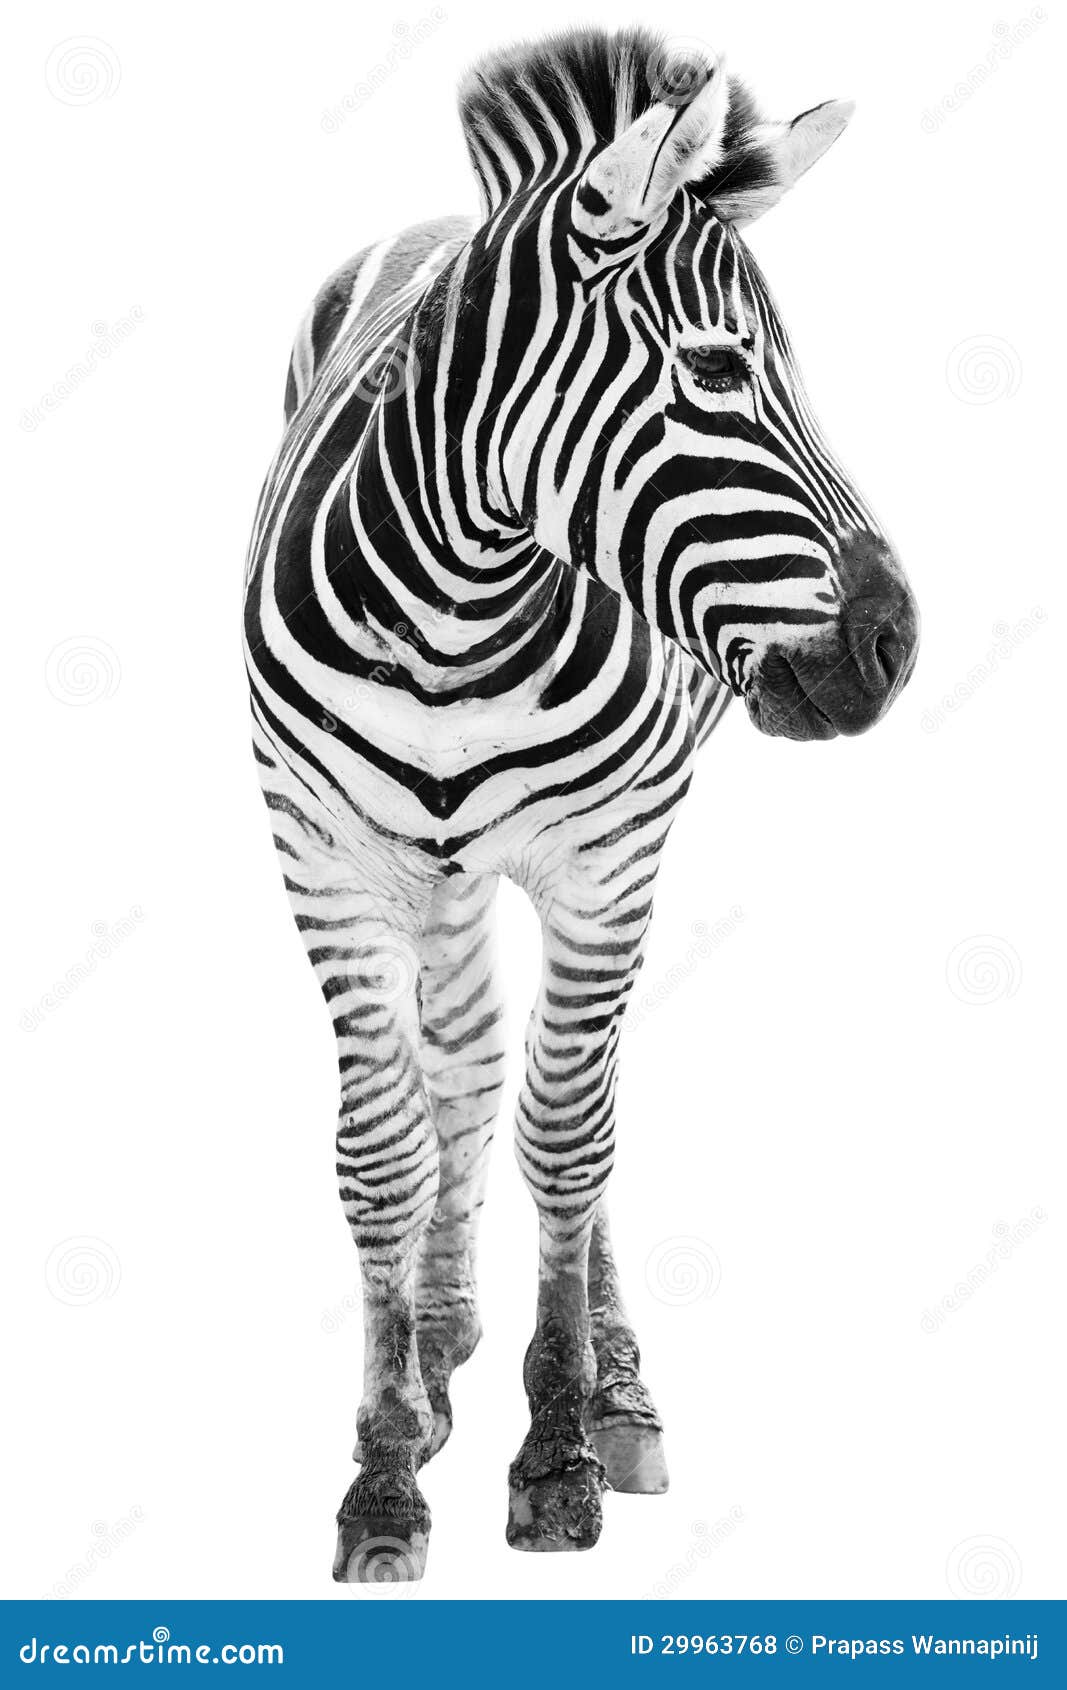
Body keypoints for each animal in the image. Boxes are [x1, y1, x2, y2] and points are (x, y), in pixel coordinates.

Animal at [243, 26, 919, 1582]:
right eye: (716, 367)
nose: (893, 644)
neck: (451, 605)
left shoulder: (602, 864)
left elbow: (570, 1135)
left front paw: (557, 1449)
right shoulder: (327, 863)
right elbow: (382, 1145)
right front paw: (384, 1469)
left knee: (579, 1094)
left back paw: (616, 1393)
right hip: (432, 869)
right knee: (471, 1064)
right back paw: (438, 1343)